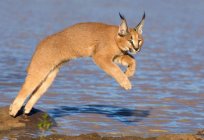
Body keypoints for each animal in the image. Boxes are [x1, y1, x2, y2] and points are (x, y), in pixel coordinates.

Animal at [9, 13, 145, 116]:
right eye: (130, 40)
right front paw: (126, 83)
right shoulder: (100, 57)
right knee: (26, 88)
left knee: (36, 91)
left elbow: (132, 59)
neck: (115, 38)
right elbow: (115, 69)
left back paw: (27, 109)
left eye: (139, 40)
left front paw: (129, 73)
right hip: (40, 70)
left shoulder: (116, 56)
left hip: (49, 76)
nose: (137, 48)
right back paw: (13, 110)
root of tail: (41, 42)